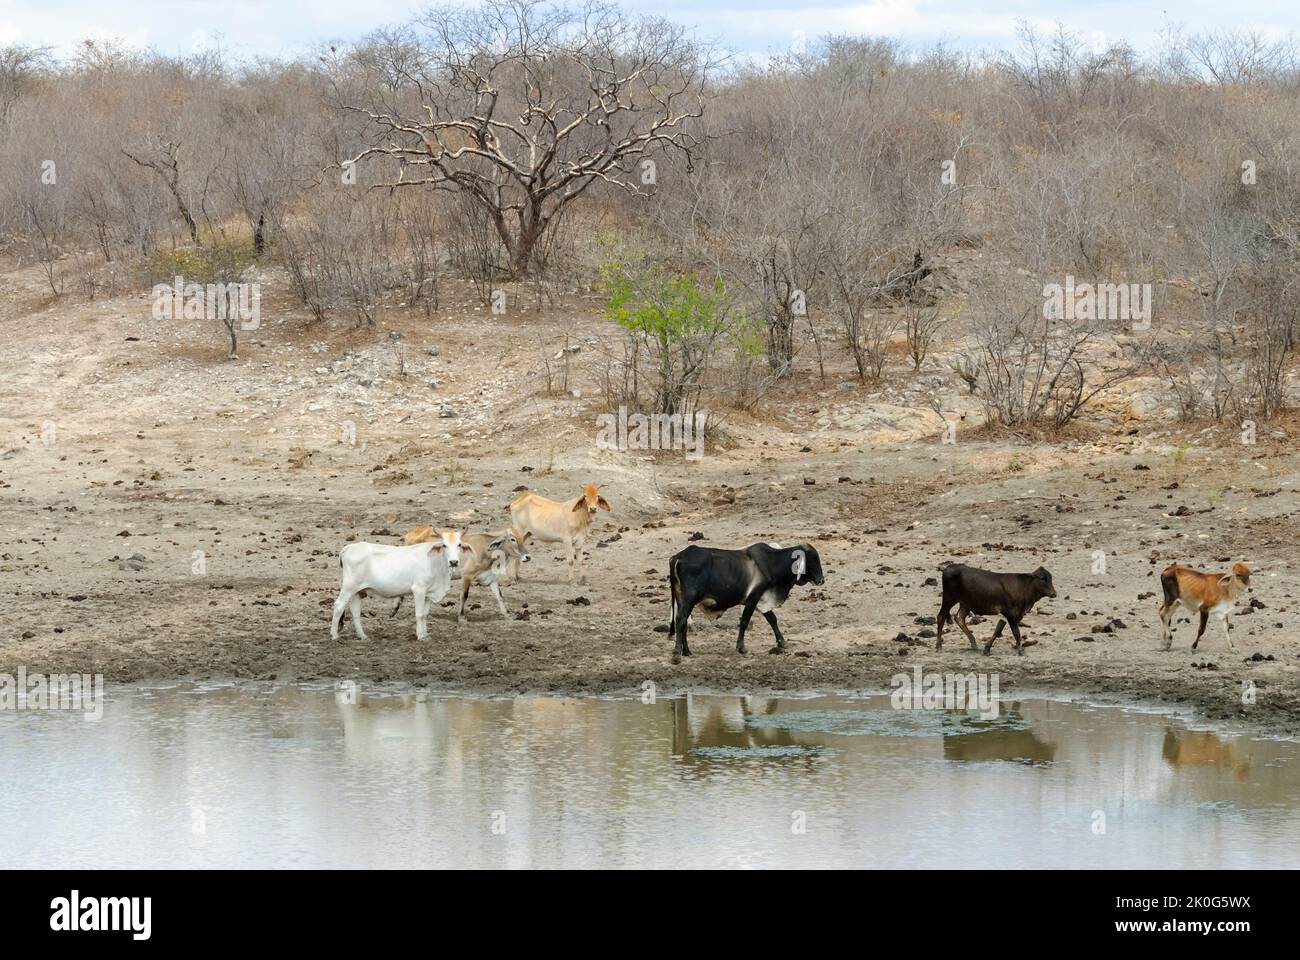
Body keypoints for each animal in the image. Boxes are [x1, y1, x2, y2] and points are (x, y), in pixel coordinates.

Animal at [331, 530, 471, 642]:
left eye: (459, 544)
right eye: (444, 545)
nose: (453, 562)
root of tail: (351, 547)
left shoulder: (428, 593)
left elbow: (425, 615)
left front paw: (426, 635)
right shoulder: (419, 590)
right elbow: (419, 614)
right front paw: (420, 636)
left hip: (358, 591)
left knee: (355, 612)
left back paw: (362, 636)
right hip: (349, 587)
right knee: (338, 606)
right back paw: (334, 635)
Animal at [667, 542, 824, 665]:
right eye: (813, 558)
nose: (821, 580)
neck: (772, 563)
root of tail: (678, 557)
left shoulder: (761, 600)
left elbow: (772, 619)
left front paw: (782, 642)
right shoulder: (753, 599)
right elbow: (744, 622)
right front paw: (741, 647)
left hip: (682, 599)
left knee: (683, 622)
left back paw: (687, 651)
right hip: (689, 599)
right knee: (680, 620)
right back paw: (676, 654)